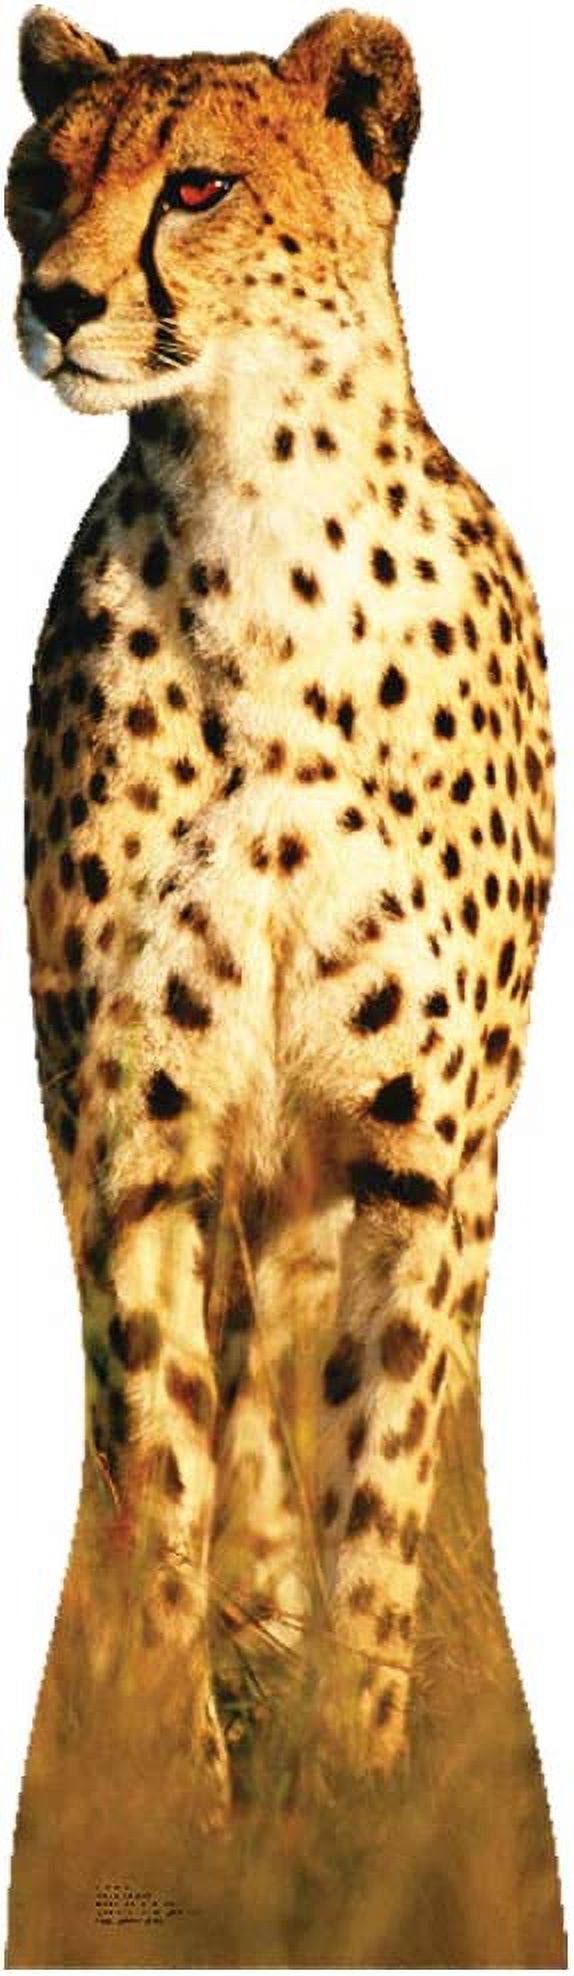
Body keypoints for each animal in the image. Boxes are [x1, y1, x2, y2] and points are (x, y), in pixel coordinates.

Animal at [7, 4, 554, 1820]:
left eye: (196, 185)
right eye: (41, 182)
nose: (56, 301)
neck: (255, 520)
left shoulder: (411, 1153)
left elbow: (375, 1487)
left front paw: (359, 1793)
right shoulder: (137, 1143)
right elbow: (159, 1473)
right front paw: (178, 1800)